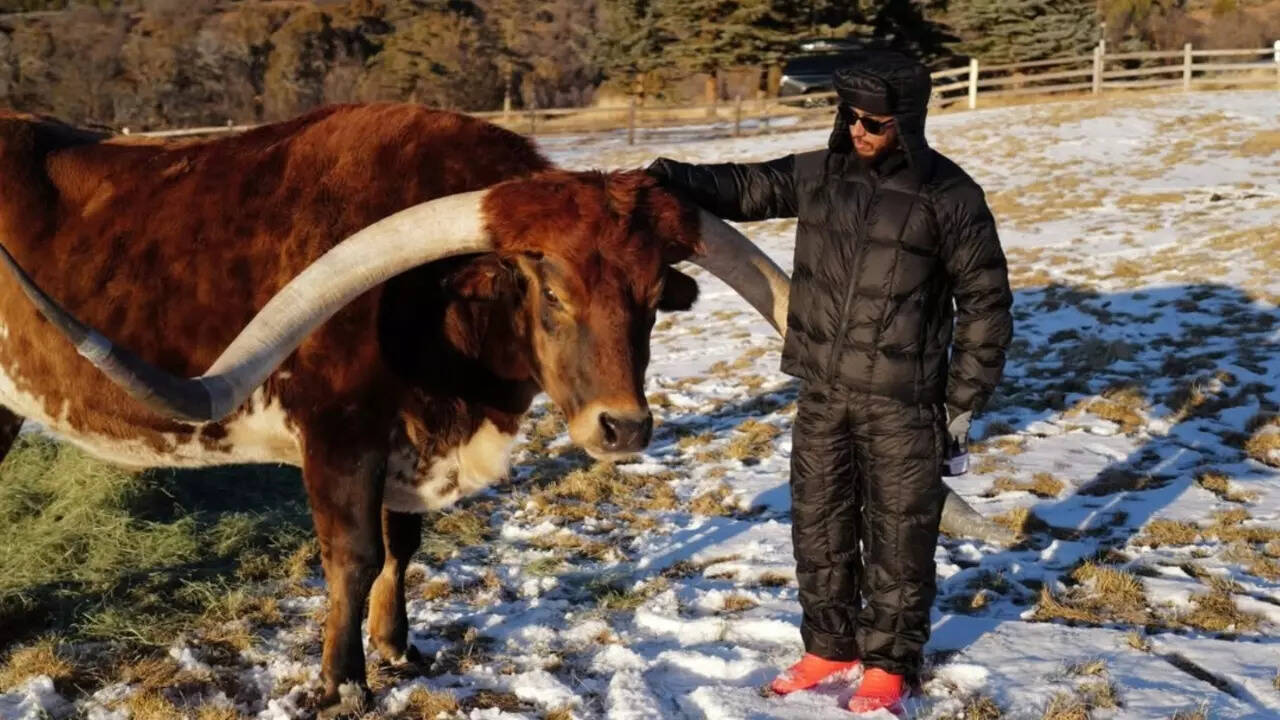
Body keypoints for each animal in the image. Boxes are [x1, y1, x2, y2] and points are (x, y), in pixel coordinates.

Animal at [0, 104, 1008, 709]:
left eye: (655, 296)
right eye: (551, 289)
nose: (623, 428)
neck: (433, 306)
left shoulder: (405, 448)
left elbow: (400, 552)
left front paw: (398, 650)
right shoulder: (339, 440)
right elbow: (352, 556)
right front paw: (343, 681)